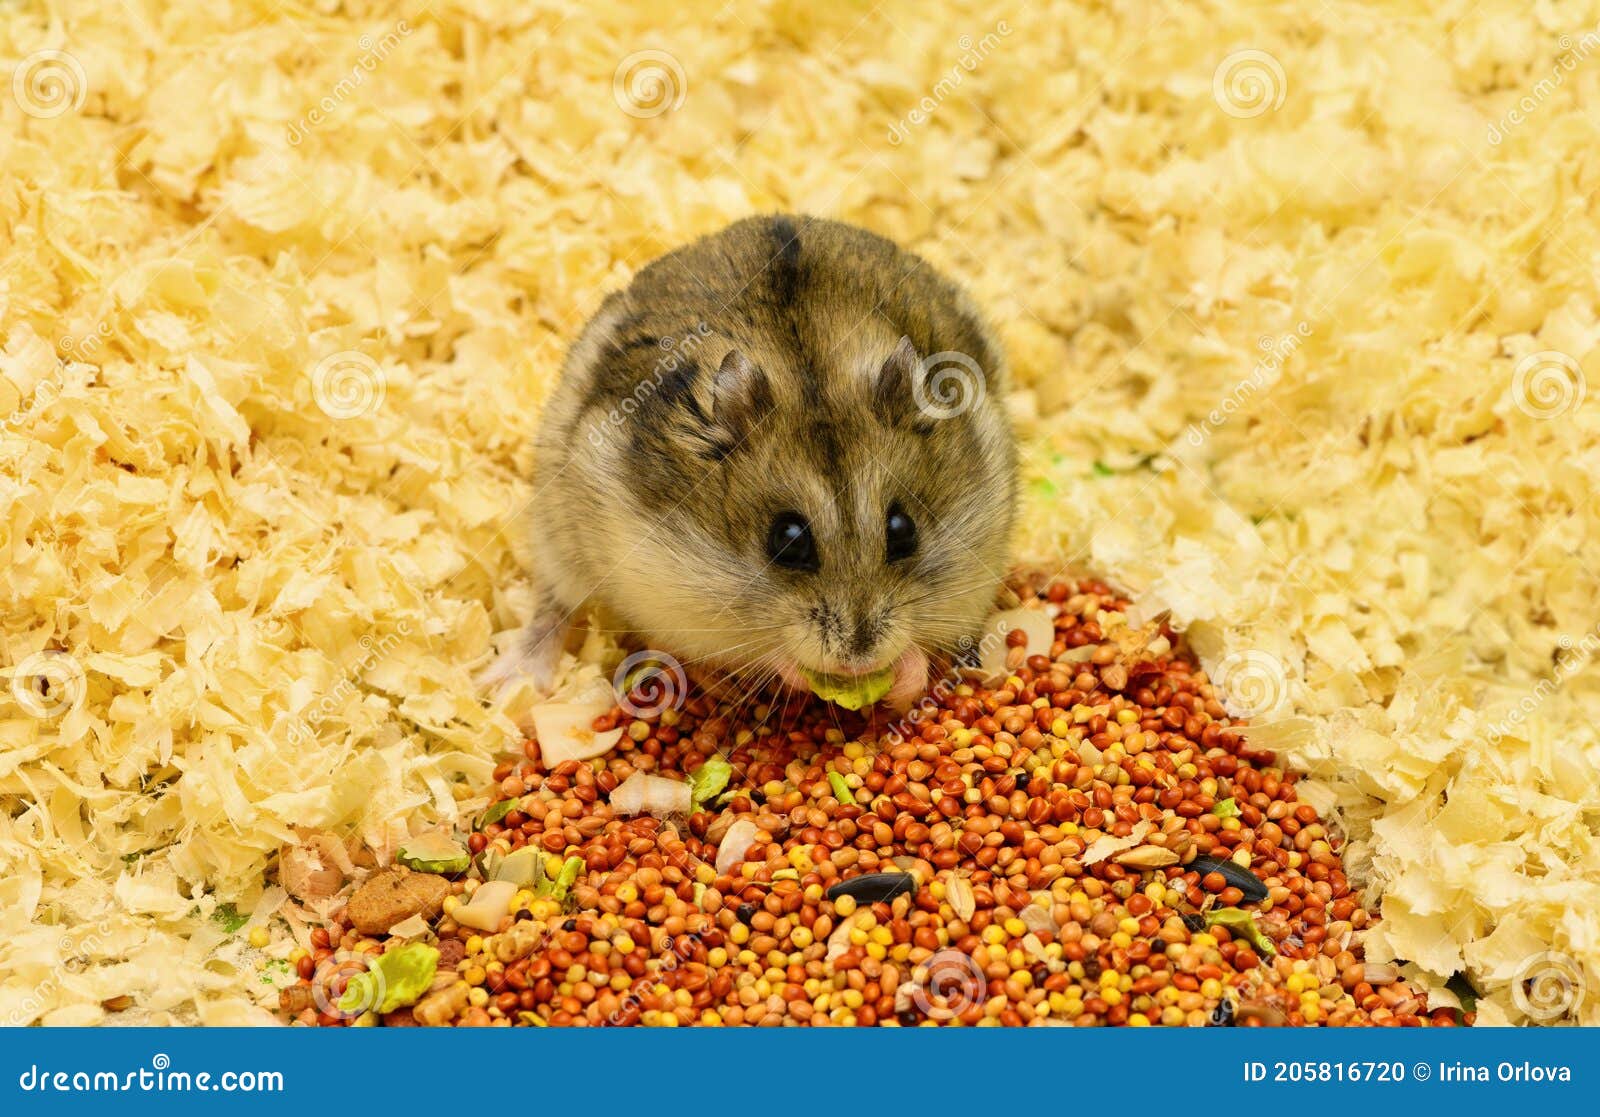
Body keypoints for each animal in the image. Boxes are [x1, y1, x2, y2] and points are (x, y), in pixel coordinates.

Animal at [484, 214, 1018, 711]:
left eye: (904, 530)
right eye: (788, 540)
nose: (858, 658)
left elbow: (919, 658)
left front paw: (902, 675)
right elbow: (771, 655)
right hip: (558, 526)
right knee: (553, 607)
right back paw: (511, 683)